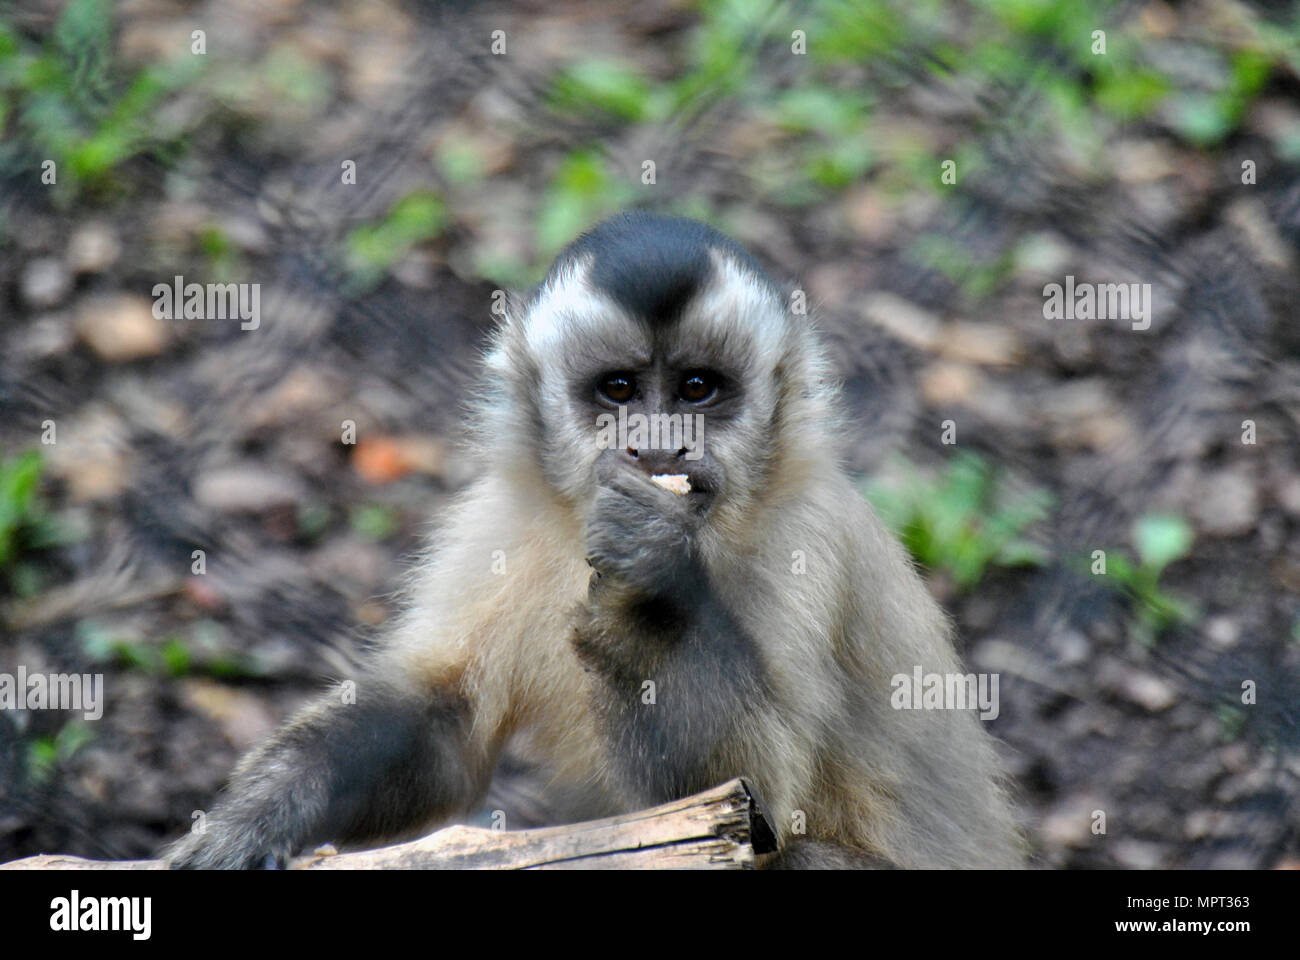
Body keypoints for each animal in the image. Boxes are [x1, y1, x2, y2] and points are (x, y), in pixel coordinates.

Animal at [164, 211, 1024, 869]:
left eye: (697, 390)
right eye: (618, 390)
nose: (659, 448)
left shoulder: (807, 533)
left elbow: (756, 812)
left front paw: (648, 594)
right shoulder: (503, 516)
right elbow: (442, 725)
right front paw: (266, 811)